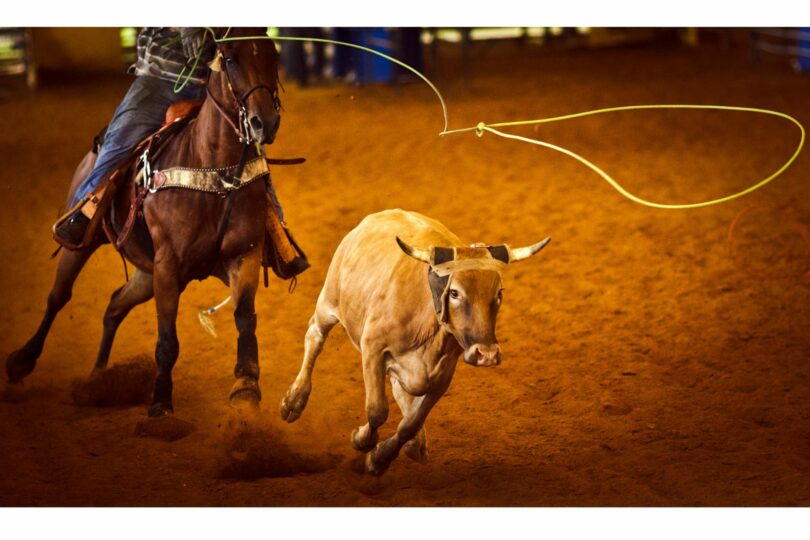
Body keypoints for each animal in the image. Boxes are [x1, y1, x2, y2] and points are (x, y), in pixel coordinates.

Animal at [6, 28, 282, 417]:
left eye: (274, 56)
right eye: (230, 59)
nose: (265, 122)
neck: (215, 172)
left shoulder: (244, 255)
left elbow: (245, 320)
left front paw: (246, 390)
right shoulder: (168, 266)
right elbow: (167, 340)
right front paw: (161, 404)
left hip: (145, 271)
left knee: (115, 305)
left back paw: (97, 380)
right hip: (84, 244)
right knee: (58, 296)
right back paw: (22, 361)